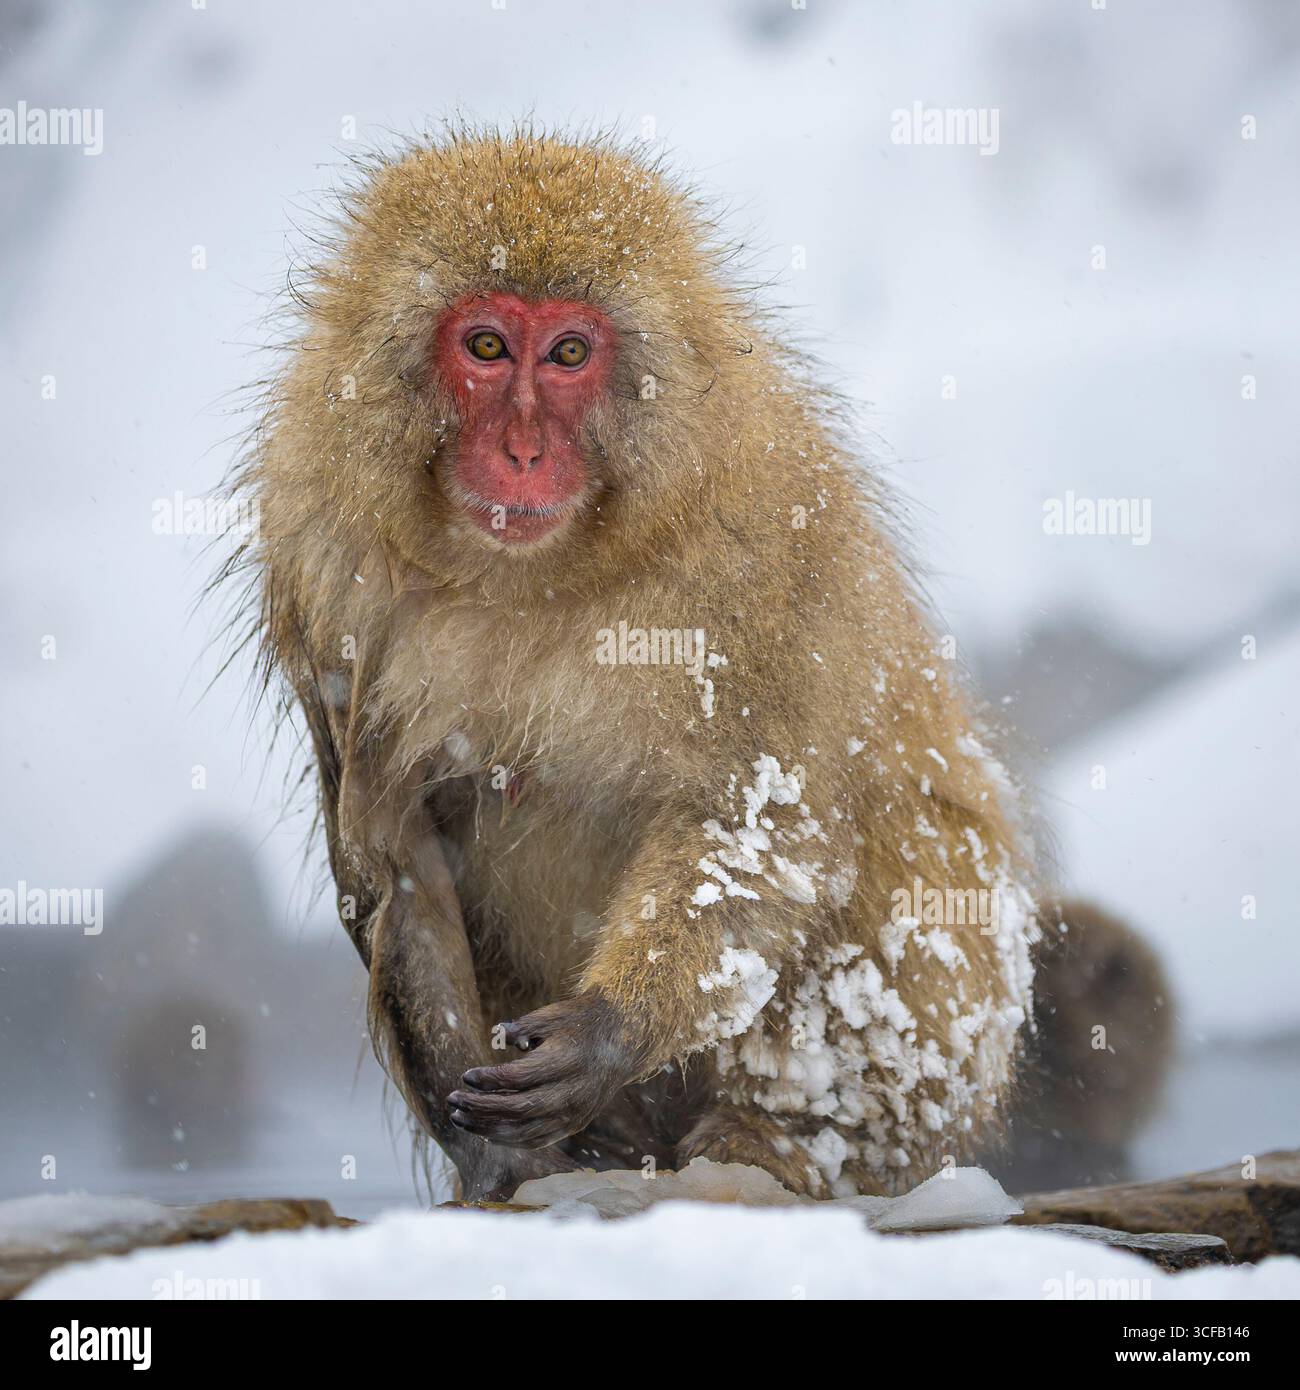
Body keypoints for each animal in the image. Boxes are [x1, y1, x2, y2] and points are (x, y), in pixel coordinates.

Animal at [225, 127, 1046, 1203]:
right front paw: (503, 1157)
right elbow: (396, 854)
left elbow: (755, 821)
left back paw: (772, 1140)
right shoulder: (321, 553)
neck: (530, 577)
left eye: (570, 354)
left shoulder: (764, 552)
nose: (522, 451)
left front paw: (613, 1029)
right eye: (485, 346)